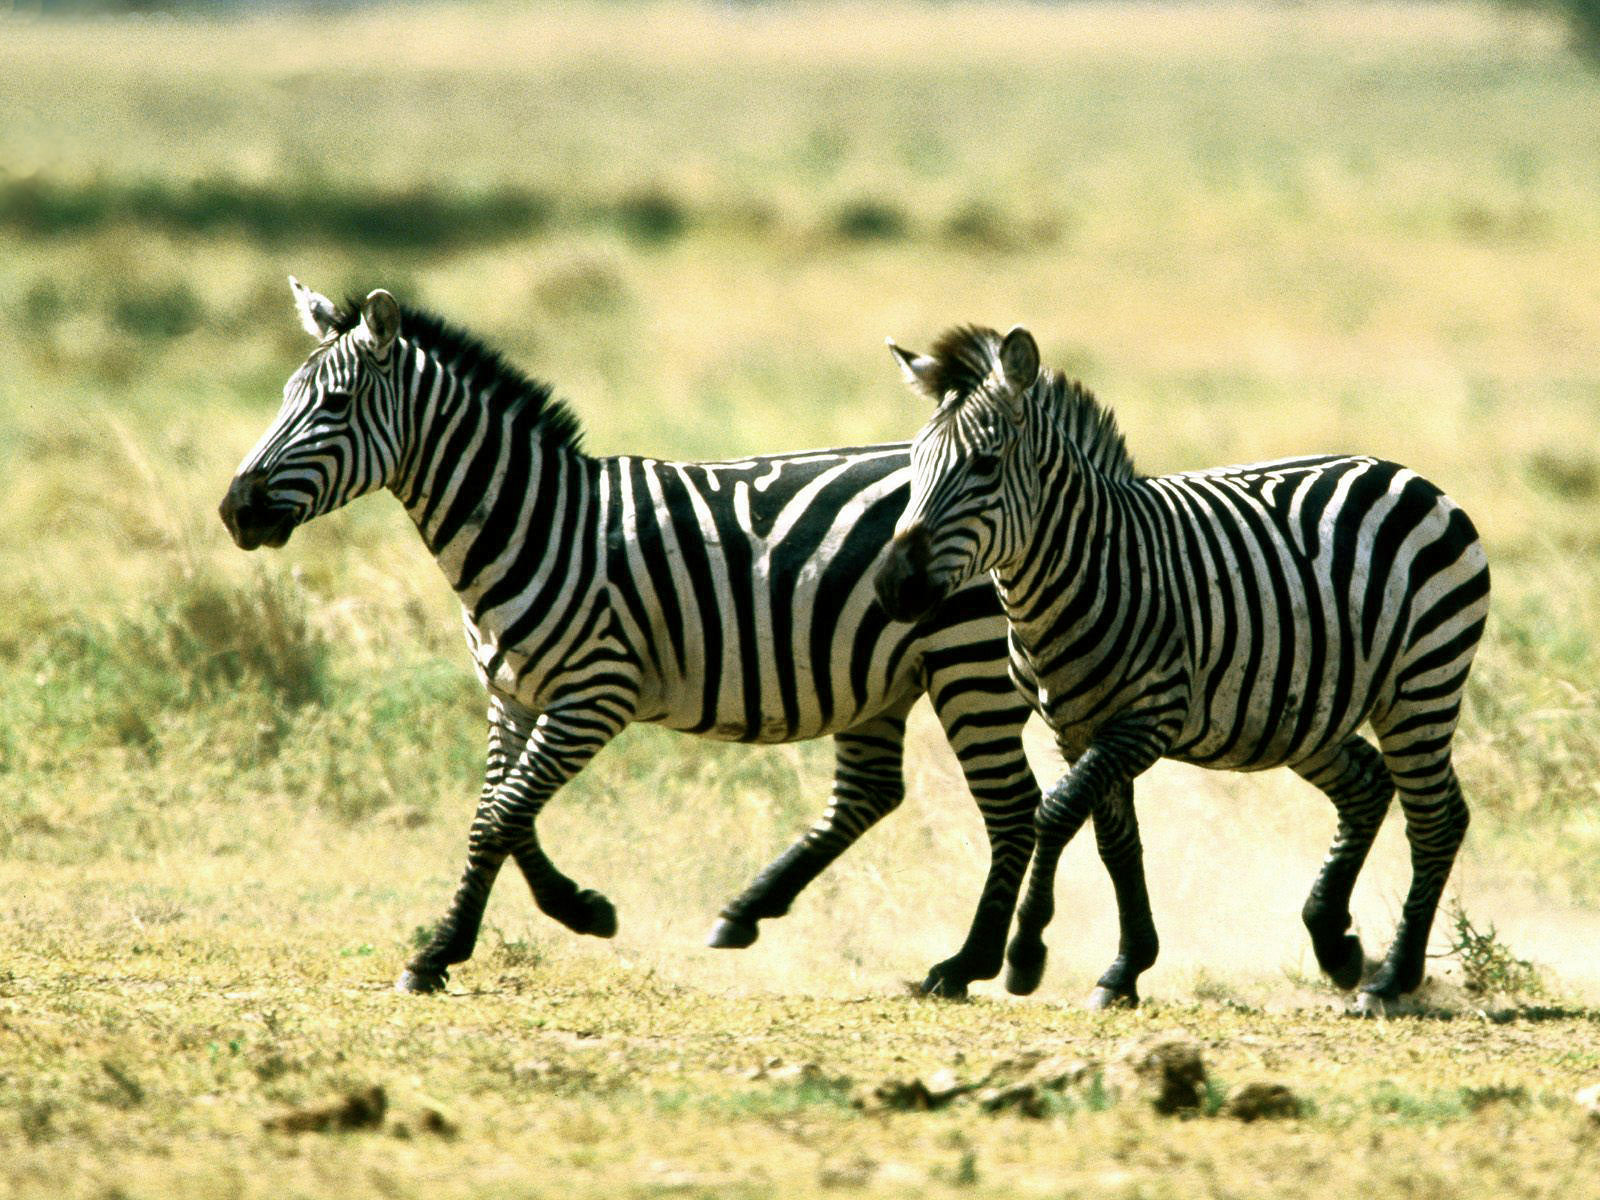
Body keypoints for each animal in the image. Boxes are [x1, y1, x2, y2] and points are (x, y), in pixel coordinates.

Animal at [218, 280, 1046, 998]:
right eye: (285, 398)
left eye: (334, 403)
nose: (235, 511)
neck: (534, 523)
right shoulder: (511, 696)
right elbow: (501, 813)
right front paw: (577, 908)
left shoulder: (595, 694)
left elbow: (501, 815)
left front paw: (441, 951)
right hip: (875, 674)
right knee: (869, 793)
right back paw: (746, 912)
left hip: (966, 663)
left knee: (1012, 805)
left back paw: (968, 965)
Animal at [873, 324, 1489, 1014]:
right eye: (912, 462)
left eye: (984, 464)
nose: (892, 587)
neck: (1087, 568)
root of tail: (1403, 472)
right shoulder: (1077, 730)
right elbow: (1115, 843)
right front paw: (1125, 968)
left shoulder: (1147, 720)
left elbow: (1055, 812)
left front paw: (1026, 954)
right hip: (1304, 711)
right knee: (1368, 786)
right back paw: (1335, 942)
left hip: (1422, 684)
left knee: (1436, 819)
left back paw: (1390, 980)